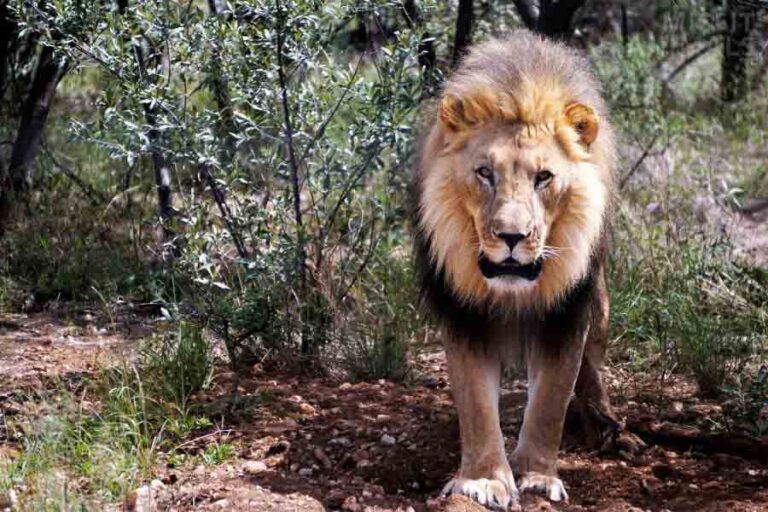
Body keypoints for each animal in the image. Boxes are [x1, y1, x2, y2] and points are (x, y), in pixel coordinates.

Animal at [413, 31, 619, 509]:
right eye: (485, 173)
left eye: (544, 177)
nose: (511, 236)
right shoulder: (463, 316)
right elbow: (475, 404)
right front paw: (484, 479)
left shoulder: (567, 317)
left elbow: (550, 403)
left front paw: (538, 477)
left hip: (600, 308)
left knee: (591, 372)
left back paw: (607, 428)